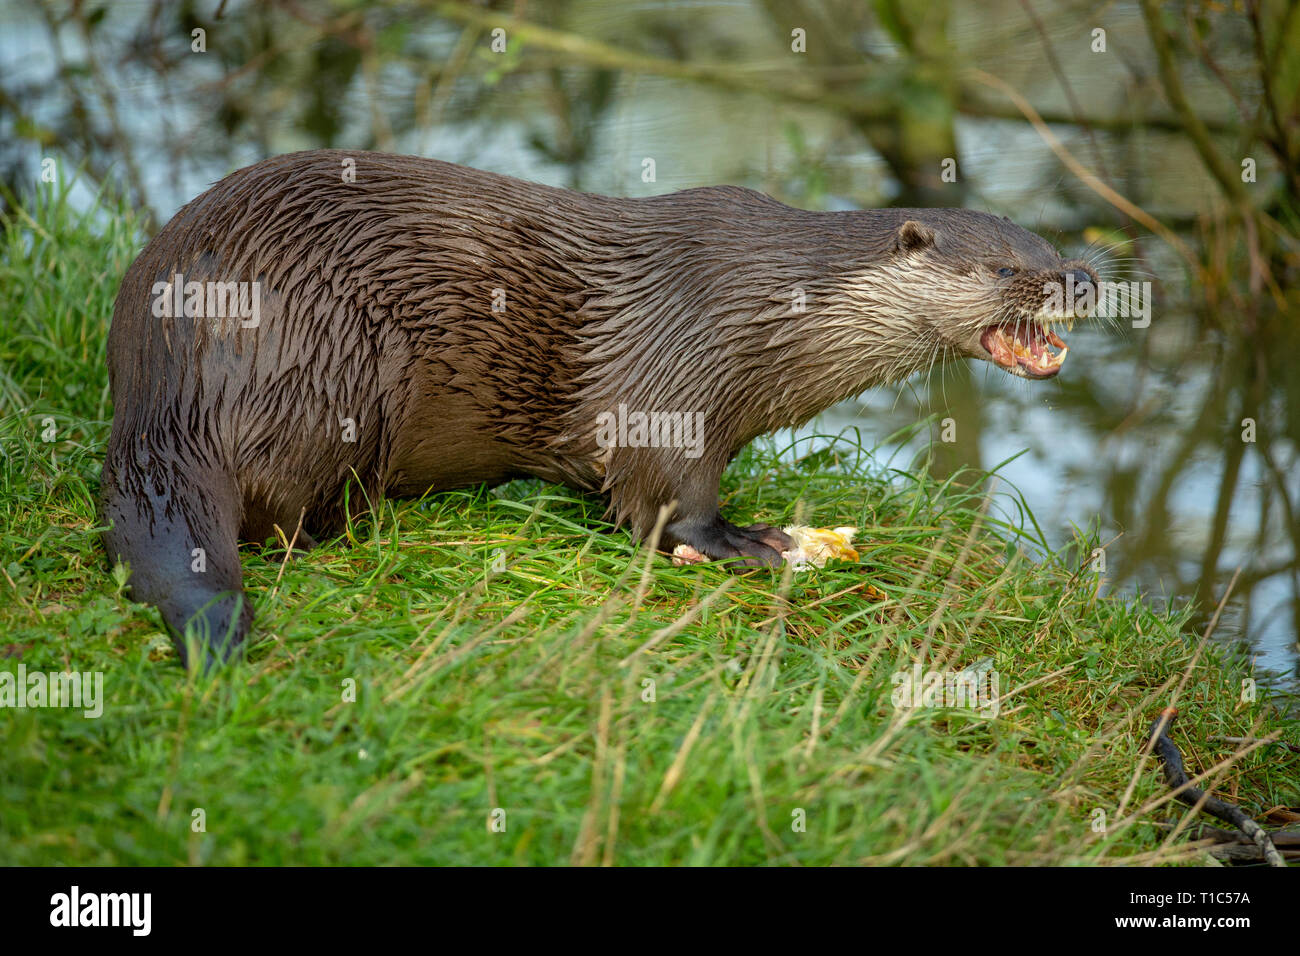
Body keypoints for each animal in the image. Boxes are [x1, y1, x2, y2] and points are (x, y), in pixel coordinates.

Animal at [100, 150, 1097, 666]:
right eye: (1006, 266)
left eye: (1052, 246)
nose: (1080, 280)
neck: (779, 308)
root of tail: (172, 385)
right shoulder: (678, 382)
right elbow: (665, 497)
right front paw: (742, 541)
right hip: (338, 369)